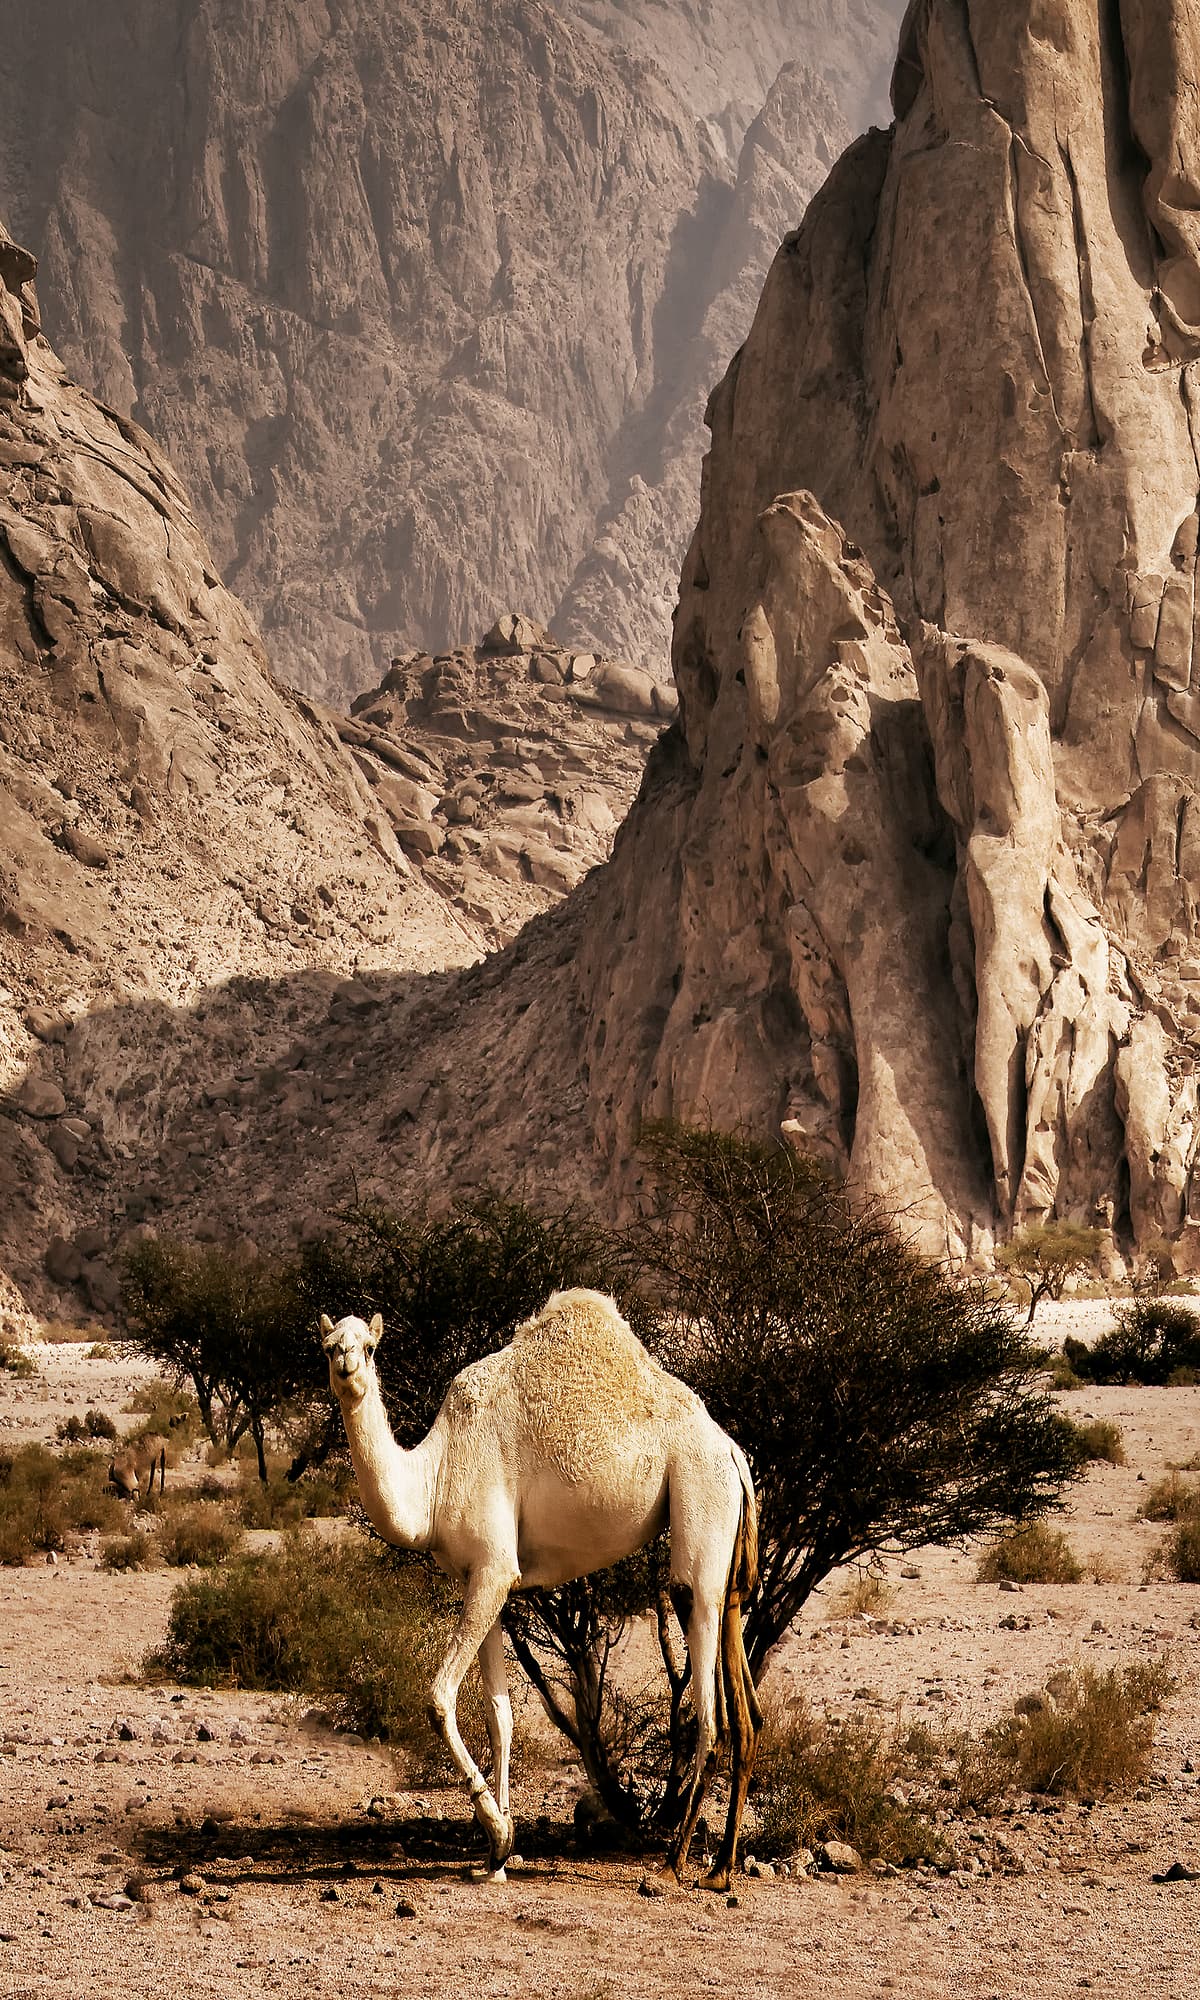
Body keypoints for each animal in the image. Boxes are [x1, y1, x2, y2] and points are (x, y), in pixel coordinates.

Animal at [320, 1287, 762, 1888]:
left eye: (368, 1344)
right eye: (327, 1345)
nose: (347, 1365)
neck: (436, 1477)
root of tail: (734, 1453)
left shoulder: (493, 1570)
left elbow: (439, 1696)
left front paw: (499, 1830)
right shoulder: (479, 1578)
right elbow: (500, 1716)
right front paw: (496, 1857)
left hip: (699, 1497)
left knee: (707, 1693)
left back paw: (673, 1864)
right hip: (728, 1548)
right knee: (744, 1702)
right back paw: (719, 1870)